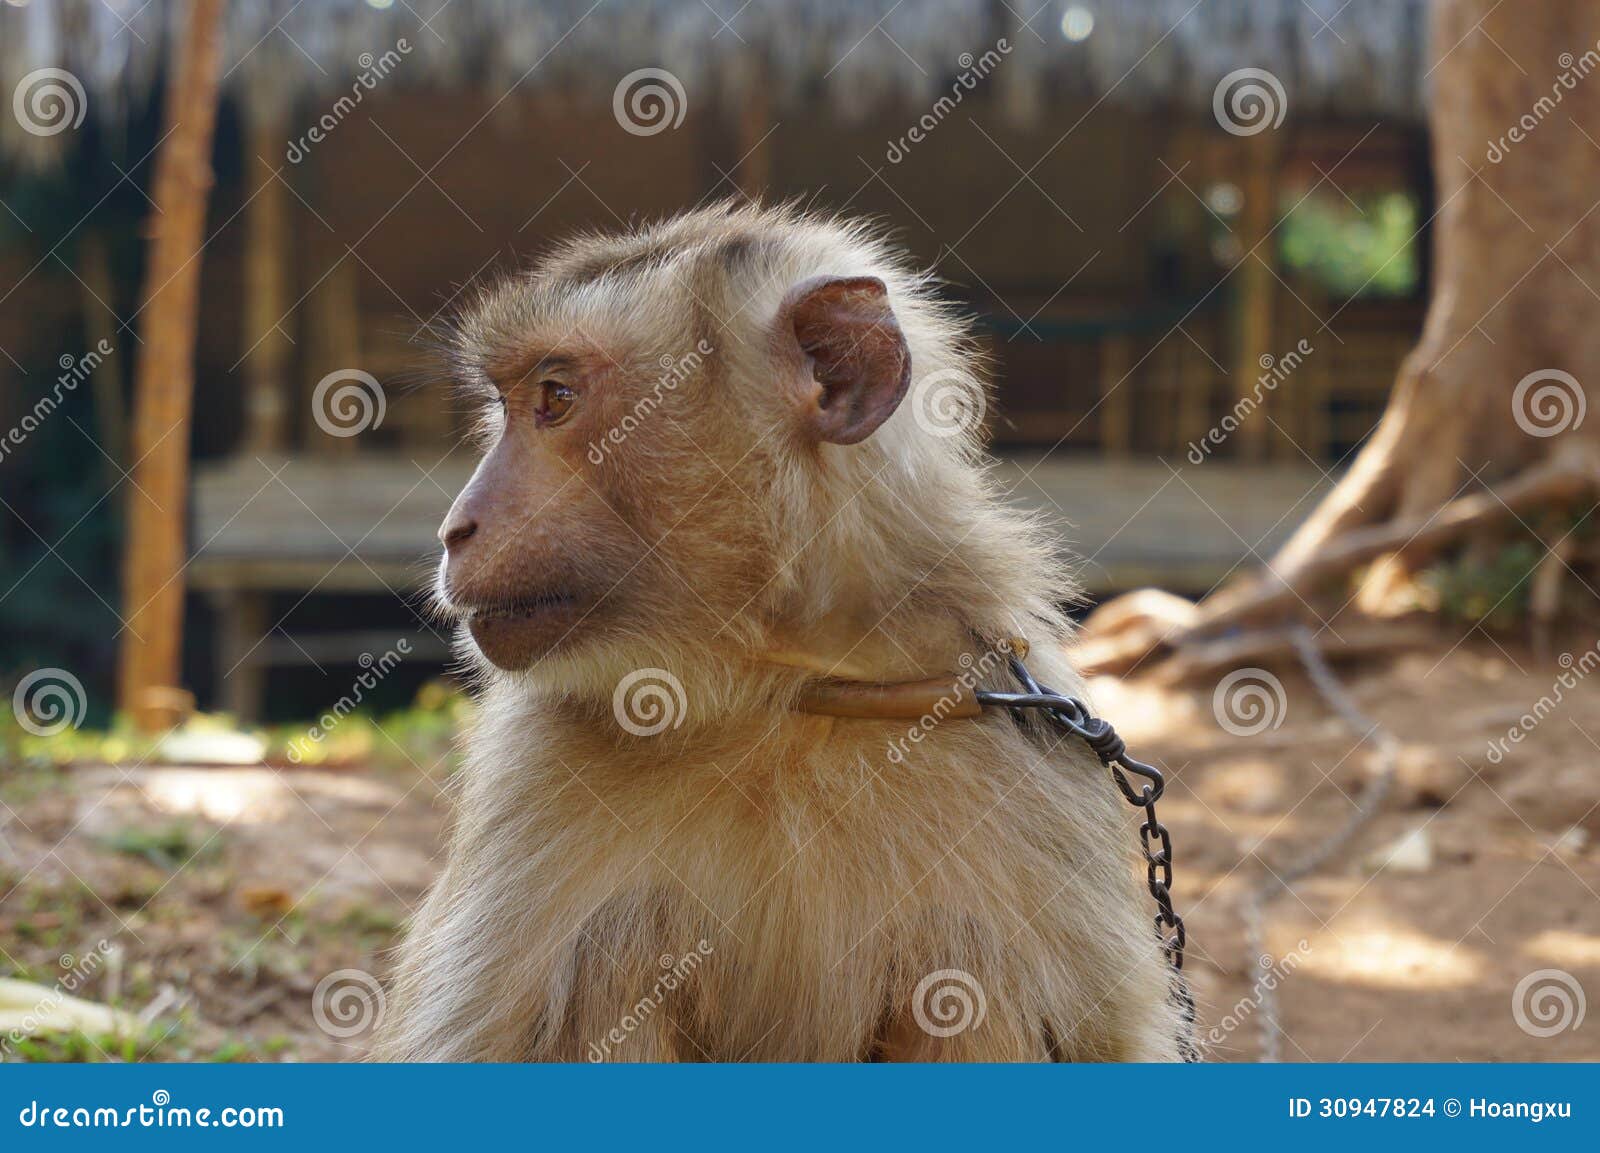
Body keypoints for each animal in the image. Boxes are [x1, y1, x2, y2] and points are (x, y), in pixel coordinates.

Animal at [376, 202, 1188, 1062]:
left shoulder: (1024, 752)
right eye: (509, 405)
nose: (455, 527)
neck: (781, 688)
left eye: (555, 397)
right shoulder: (529, 766)